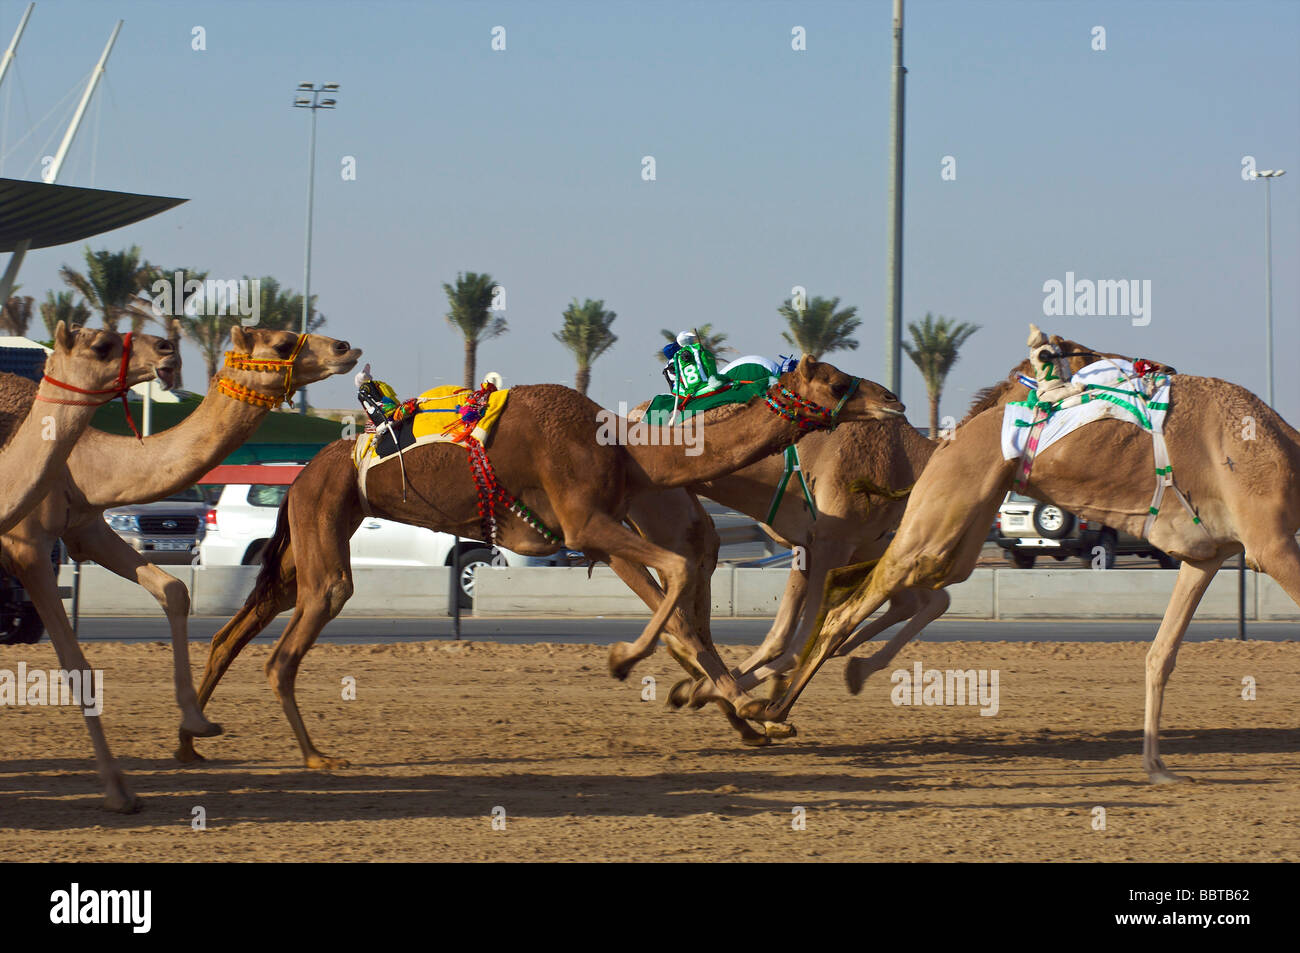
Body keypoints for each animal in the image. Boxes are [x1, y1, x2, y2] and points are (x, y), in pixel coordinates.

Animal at [176, 357, 904, 767]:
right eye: (838, 380)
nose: (893, 400)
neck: (627, 448)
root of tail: (302, 472)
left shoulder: (595, 533)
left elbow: (681, 619)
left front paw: (750, 714)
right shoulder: (586, 519)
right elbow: (677, 581)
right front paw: (627, 663)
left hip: (307, 537)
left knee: (236, 628)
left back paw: (192, 738)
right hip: (326, 532)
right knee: (289, 642)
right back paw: (316, 757)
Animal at [737, 328, 1296, 784]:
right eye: (1056, 352)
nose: (1148, 365)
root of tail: (949, 439)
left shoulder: (1206, 556)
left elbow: (1161, 654)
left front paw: (1157, 766)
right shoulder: (1271, 546)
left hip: (954, 527)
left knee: (869, 587)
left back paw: (772, 697)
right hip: (938, 523)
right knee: (849, 608)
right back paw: (769, 710)